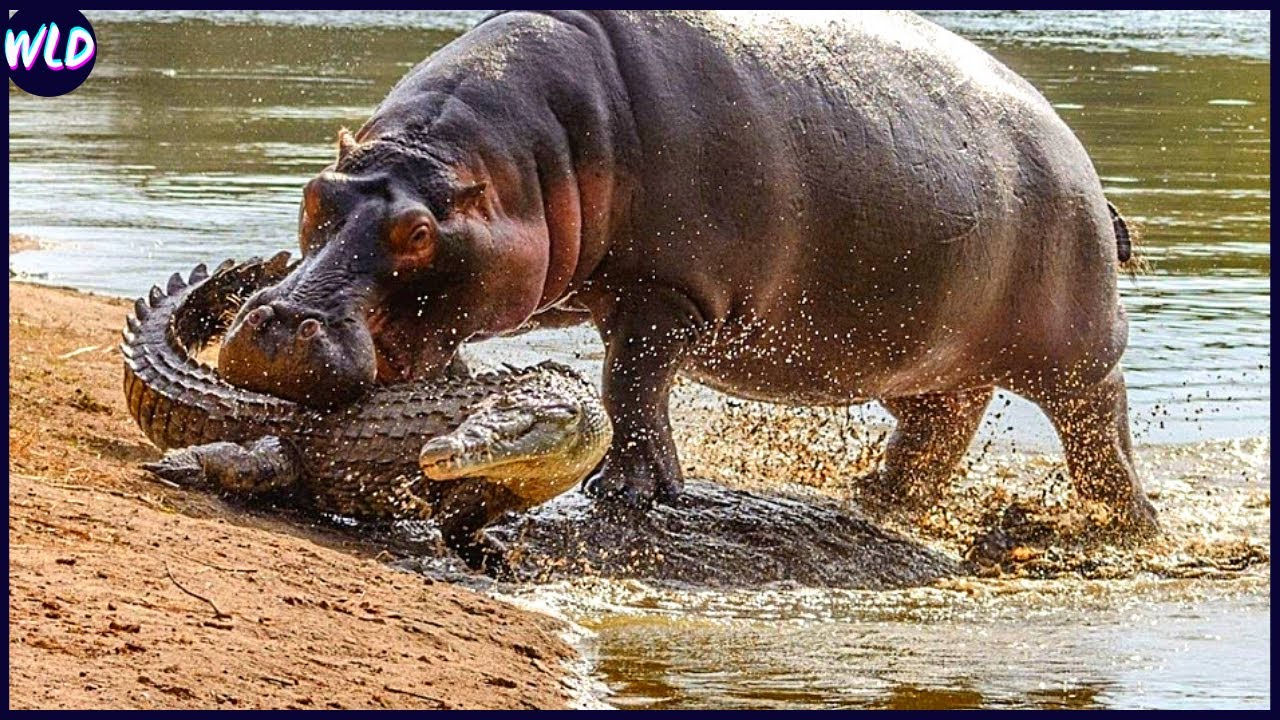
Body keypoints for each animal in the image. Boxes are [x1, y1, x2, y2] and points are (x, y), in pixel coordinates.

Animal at [219, 10, 1158, 537]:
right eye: (315, 193)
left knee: (1098, 424)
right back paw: (878, 499)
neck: (522, 164)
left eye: (417, 233)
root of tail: (1083, 161)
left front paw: (628, 494)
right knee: (944, 420)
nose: (274, 324)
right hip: (916, 353)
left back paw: (1119, 527)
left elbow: (631, 385)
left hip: (1071, 350)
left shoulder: (666, 293)